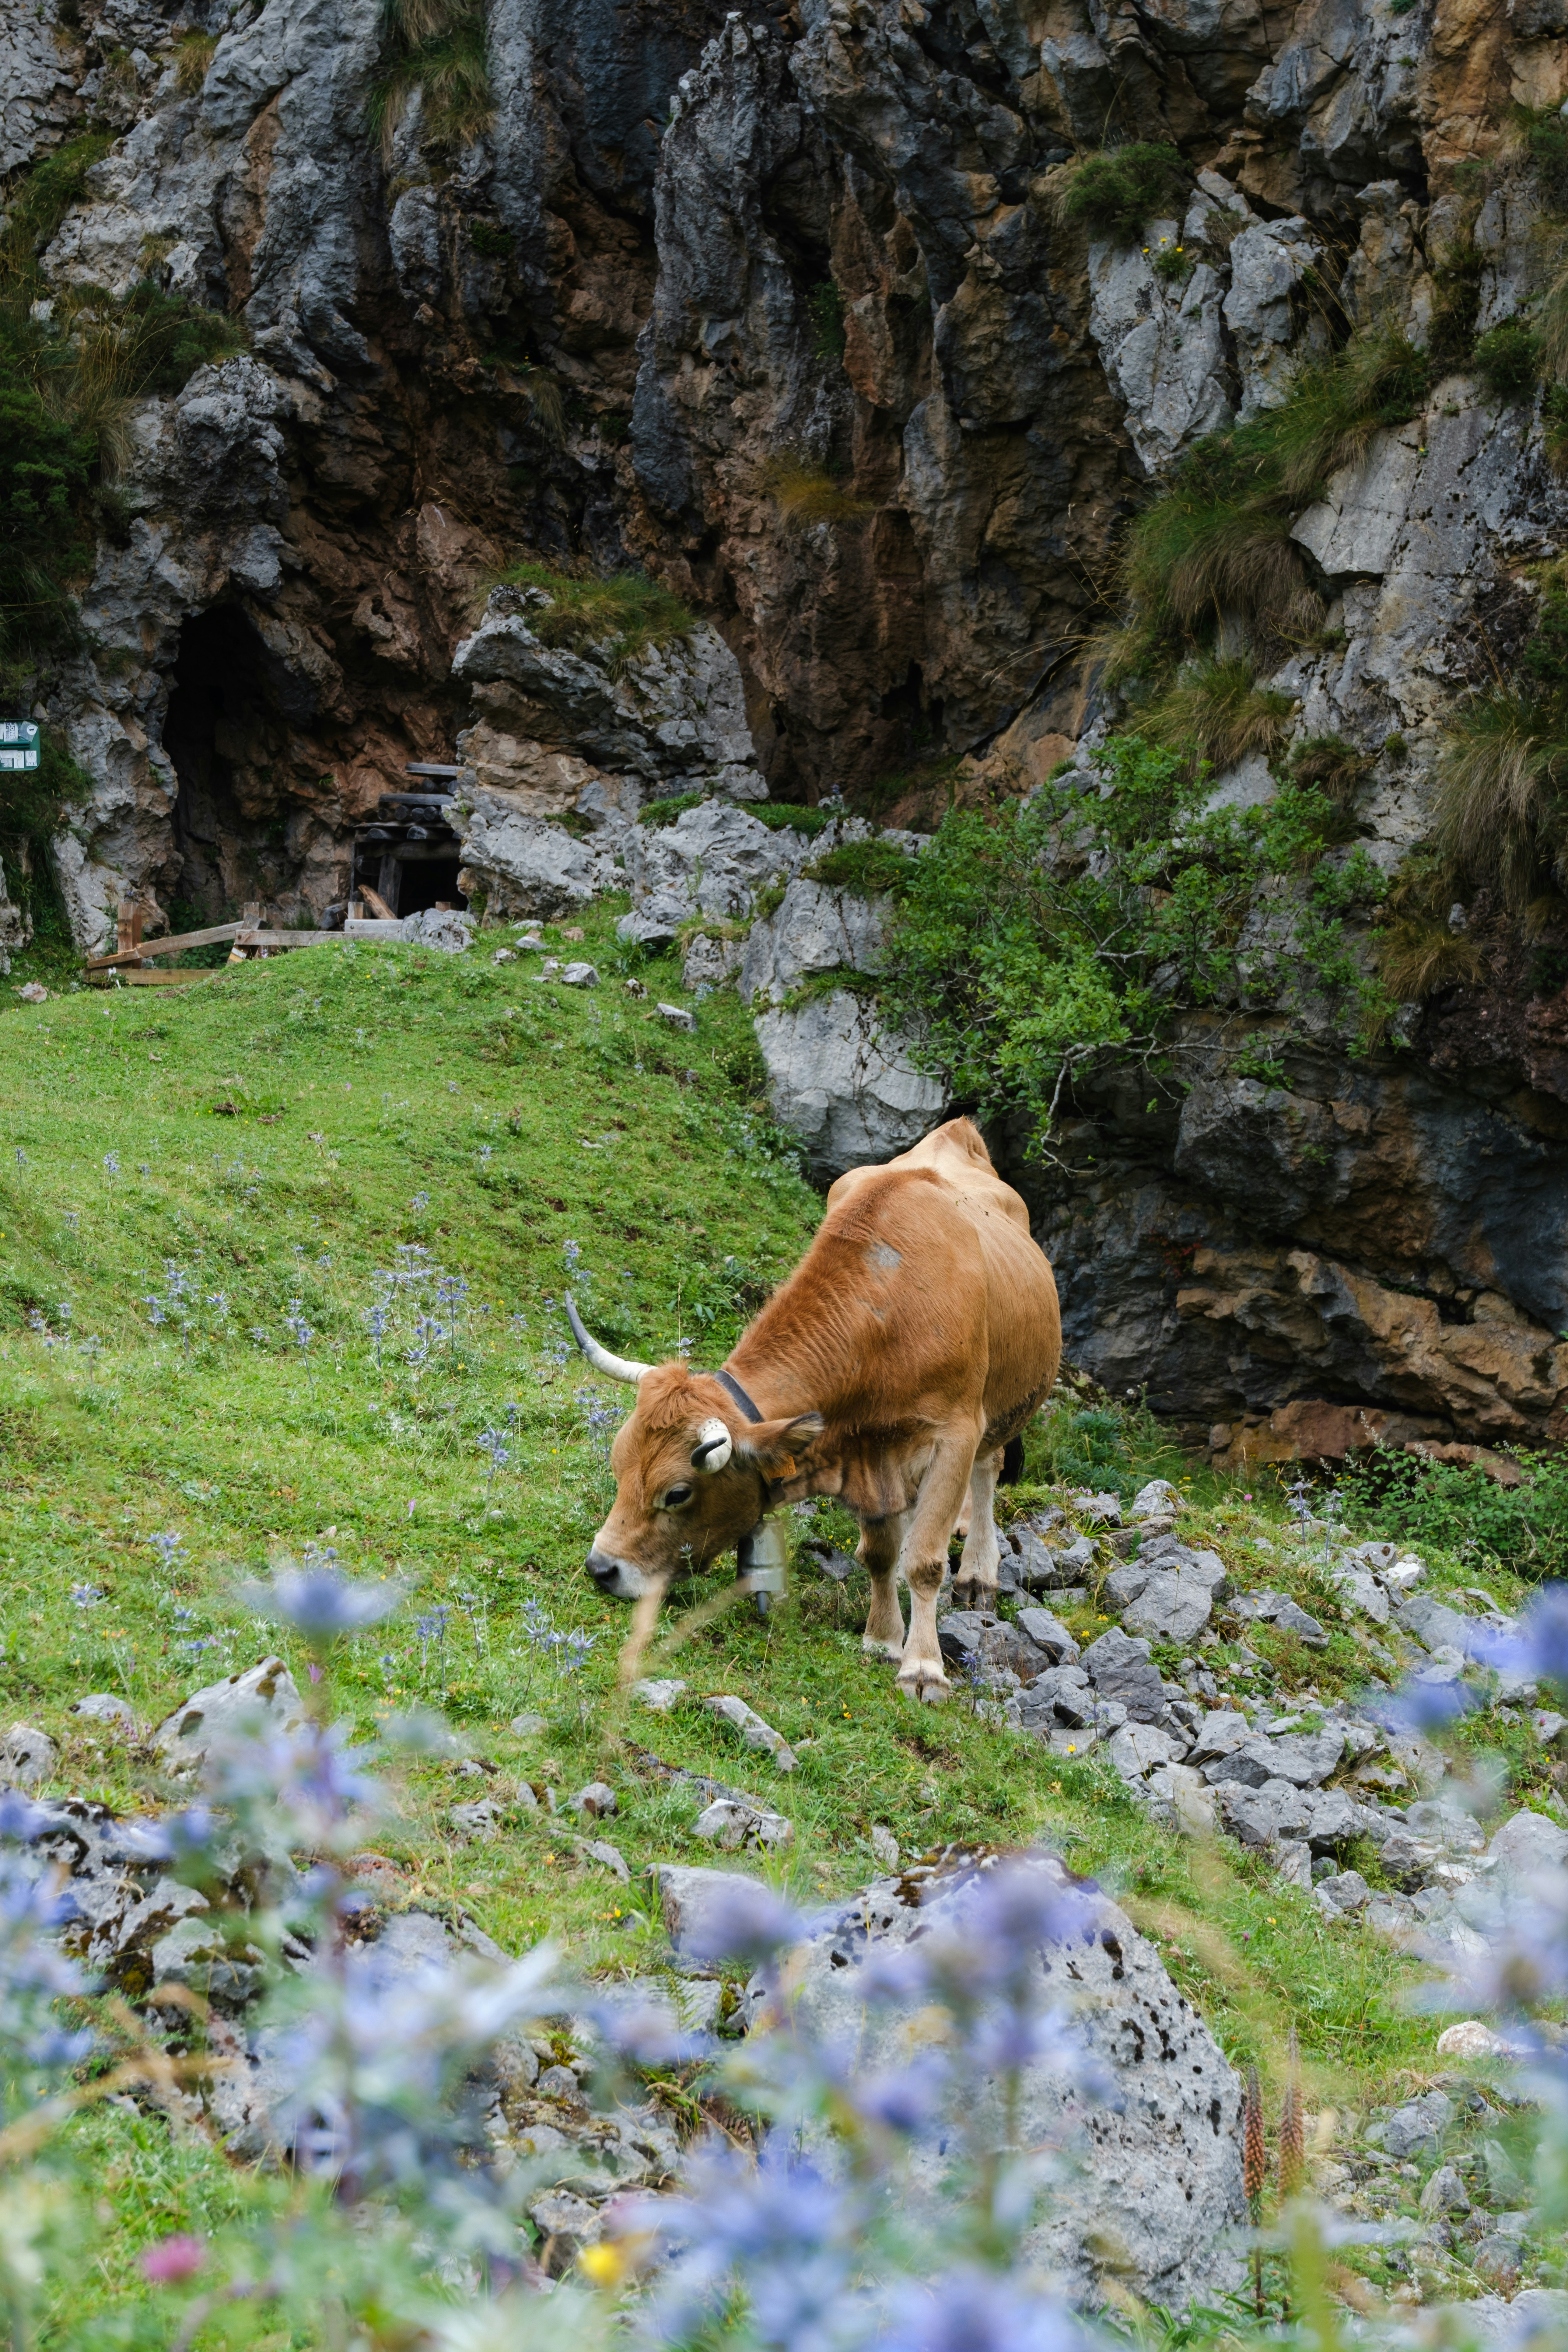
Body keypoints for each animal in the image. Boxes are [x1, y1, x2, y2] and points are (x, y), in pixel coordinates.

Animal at [564, 1117, 1062, 1702]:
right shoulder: (871, 1448)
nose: (602, 1568)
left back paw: (979, 1570)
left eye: (678, 1493)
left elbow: (924, 1561)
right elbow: (880, 1553)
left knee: (988, 1469)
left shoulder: (954, 1433)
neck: (888, 1316)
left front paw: (922, 1667)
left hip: (1004, 1401)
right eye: (618, 1466)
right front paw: (882, 1636)